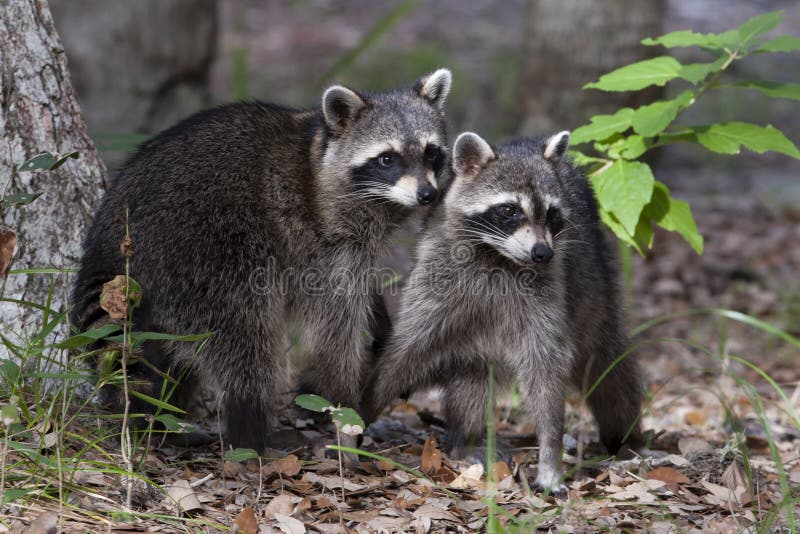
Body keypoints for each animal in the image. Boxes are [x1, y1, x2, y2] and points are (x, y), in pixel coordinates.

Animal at [71, 69, 453, 453]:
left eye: (430, 152)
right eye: (387, 158)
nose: (427, 195)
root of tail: (109, 241)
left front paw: (380, 322)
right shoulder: (321, 241)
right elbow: (335, 327)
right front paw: (345, 401)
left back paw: (163, 418)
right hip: (207, 252)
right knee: (247, 339)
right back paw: (250, 432)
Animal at [363, 131, 643, 493]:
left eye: (551, 214)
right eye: (509, 210)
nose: (542, 253)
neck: (497, 254)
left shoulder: (547, 292)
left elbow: (546, 366)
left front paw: (549, 457)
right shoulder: (437, 281)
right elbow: (406, 349)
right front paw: (360, 411)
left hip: (592, 282)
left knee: (608, 363)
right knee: (473, 378)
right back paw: (463, 442)